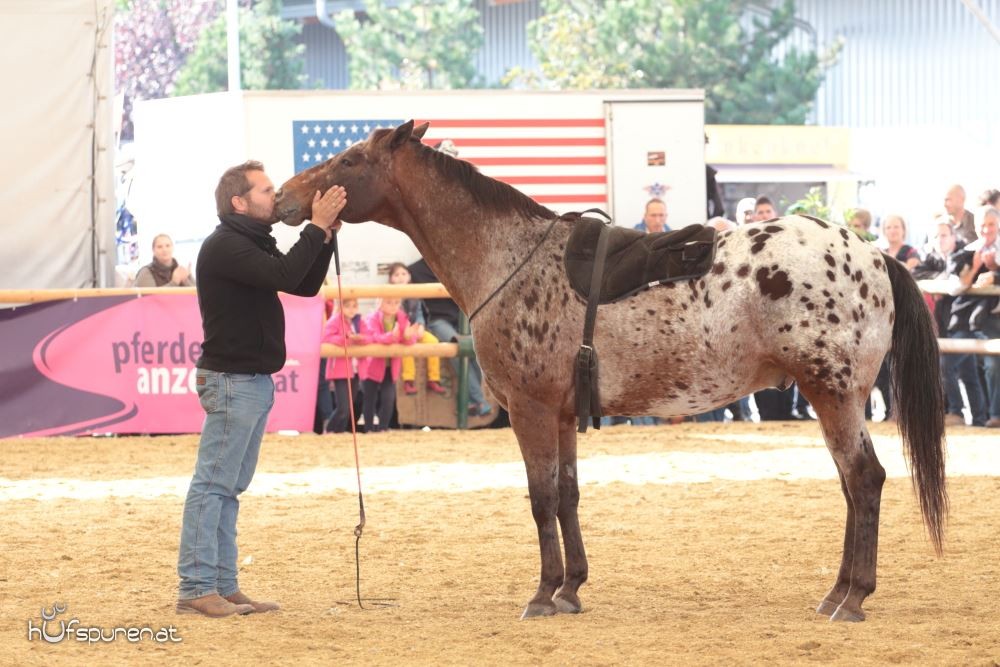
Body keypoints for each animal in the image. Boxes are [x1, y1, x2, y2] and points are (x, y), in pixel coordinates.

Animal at [274, 120, 947, 622]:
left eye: (349, 160)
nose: (283, 197)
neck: (509, 260)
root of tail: (873, 255)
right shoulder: (563, 412)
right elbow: (568, 494)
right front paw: (571, 587)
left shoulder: (531, 410)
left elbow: (541, 498)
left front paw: (542, 594)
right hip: (835, 398)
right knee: (853, 484)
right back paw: (839, 590)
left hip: (834, 394)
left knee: (864, 479)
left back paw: (851, 598)